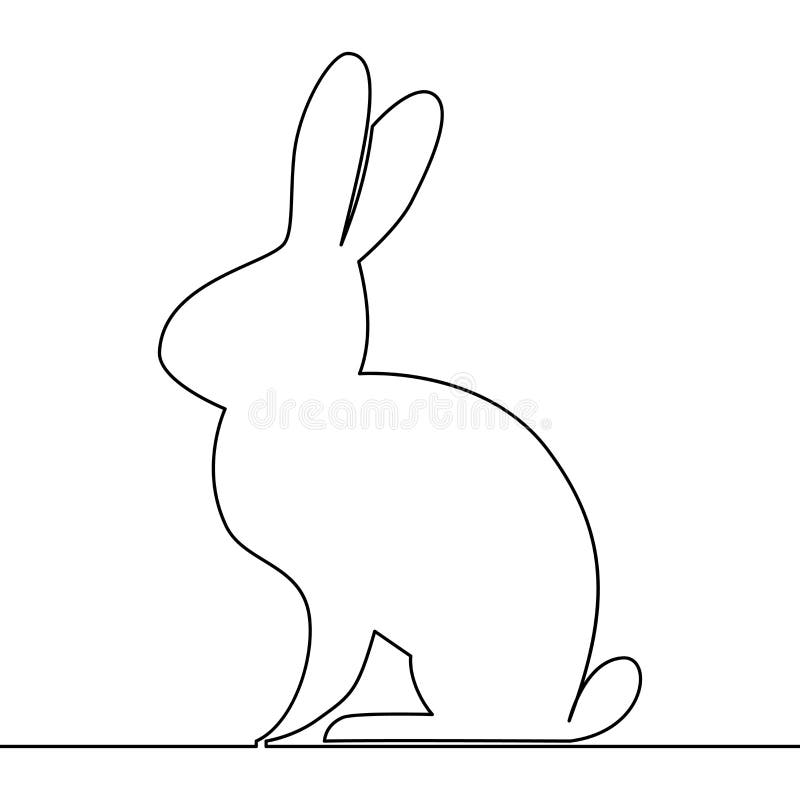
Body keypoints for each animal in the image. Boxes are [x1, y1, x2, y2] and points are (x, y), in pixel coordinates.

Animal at [158, 52, 642, 744]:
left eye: (244, 305)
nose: (168, 349)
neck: (309, 387)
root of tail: (559, 715)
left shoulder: (336, 596)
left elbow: (328, 670)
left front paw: (277, 735)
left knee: (479, 723)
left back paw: (370, 726)